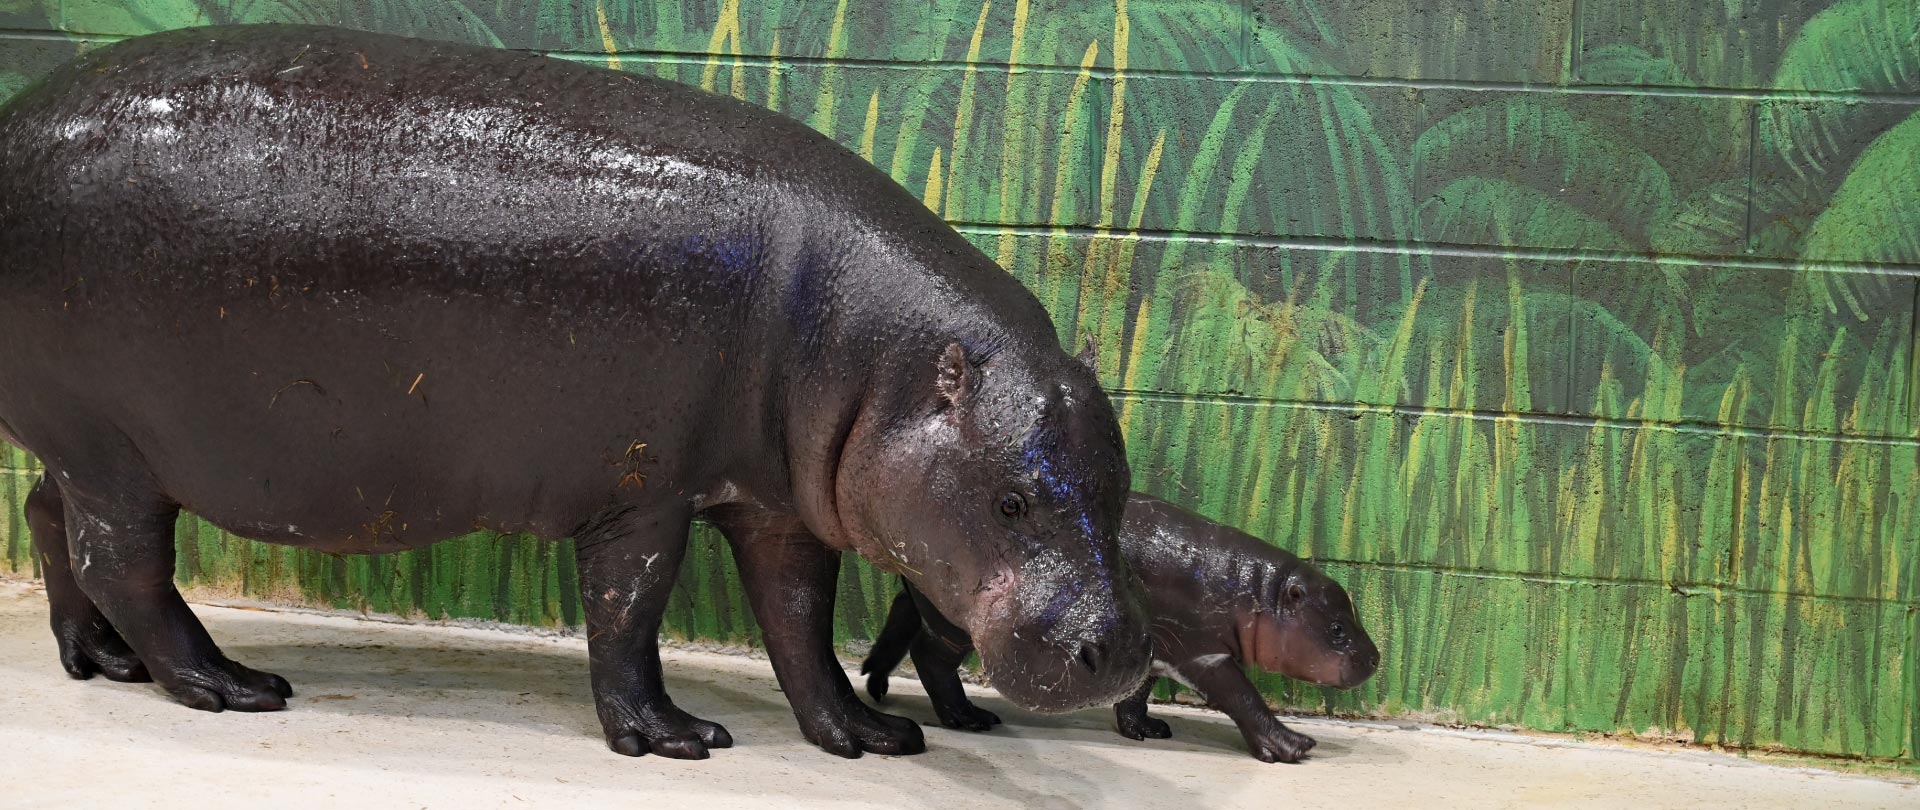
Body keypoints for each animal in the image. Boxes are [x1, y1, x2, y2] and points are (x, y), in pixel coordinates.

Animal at [0, 24, 1154, 760]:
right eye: (1011, 498)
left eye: (1119, 486)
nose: (1123, 651)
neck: (877, 352)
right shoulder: (643, 494)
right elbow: (627, 611)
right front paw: (674, 740)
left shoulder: (777, 504)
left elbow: (799, 625)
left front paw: (872, 737)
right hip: (117, 450)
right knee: (124, 566)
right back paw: (232, 686)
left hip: (86, 442)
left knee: (51, 518)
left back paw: (99, 662)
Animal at [861, 492, 1377, 763]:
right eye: (1336, 628)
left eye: (1350, 612)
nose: (1375, 658)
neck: (1255, 595)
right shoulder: (1204, 654)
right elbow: (1244, 697)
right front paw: (1294, 746)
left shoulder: (1151, 650)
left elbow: (1137, 693)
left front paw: (1149, 730)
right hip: (956, 625)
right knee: (930, 656)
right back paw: (970, 718)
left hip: (920, 598)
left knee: (900, 617)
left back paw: (879, 684)